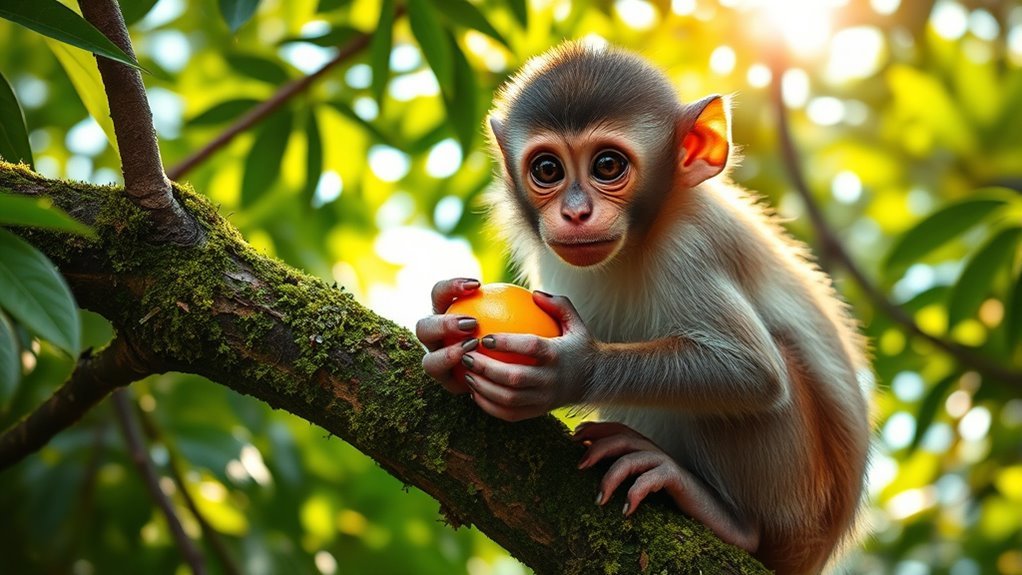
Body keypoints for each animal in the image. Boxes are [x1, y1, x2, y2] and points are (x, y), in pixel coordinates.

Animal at [414, 42, 871, 574]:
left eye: (608, 166)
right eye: (547, 170)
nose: (575, 212)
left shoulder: (691, 244)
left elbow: (753, 372)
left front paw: (572, 369)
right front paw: (439, 338)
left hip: (800, 507)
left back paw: (733, 521)